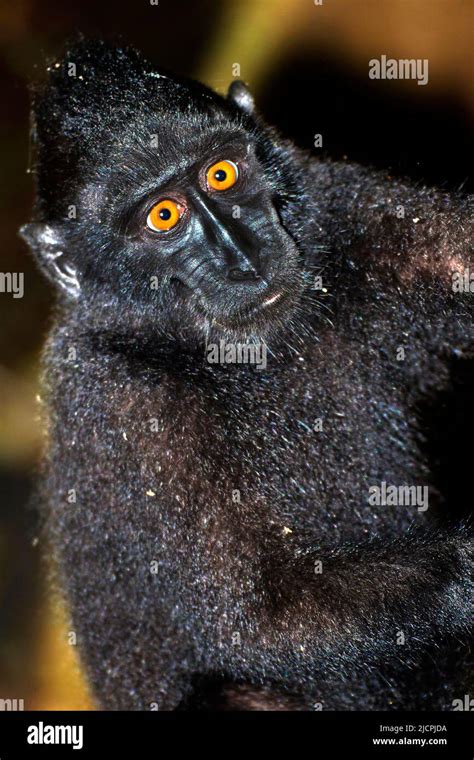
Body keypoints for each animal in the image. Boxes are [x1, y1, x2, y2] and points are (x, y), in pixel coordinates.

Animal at [20, 38, 473, 711]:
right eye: (163, 216)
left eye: (222, 174)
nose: (242, 255)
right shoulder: (122, 405)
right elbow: (259, 618)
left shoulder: (342, 203)